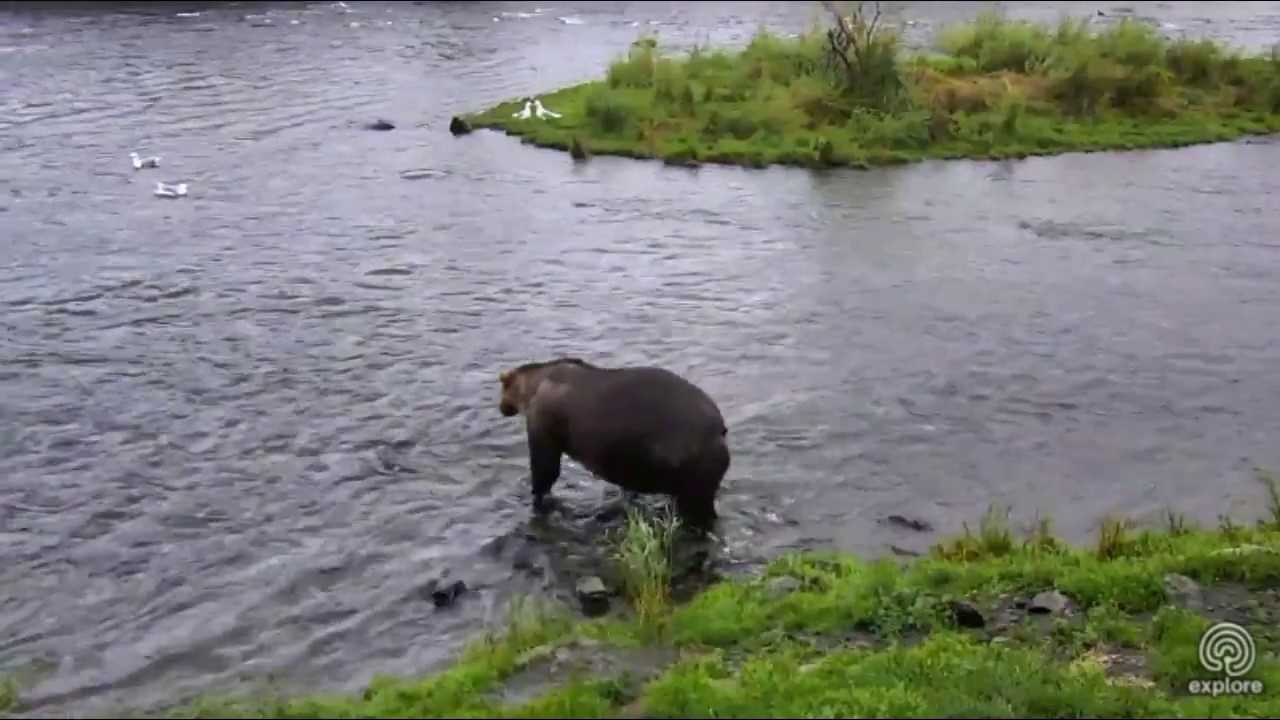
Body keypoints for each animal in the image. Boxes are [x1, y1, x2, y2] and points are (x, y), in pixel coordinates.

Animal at [497, 357, 730, 533]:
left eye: (502, 390)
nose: (502, 407)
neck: (533, 386)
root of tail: (719, 427)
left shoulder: (545, 425)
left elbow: (545, 469)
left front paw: (535, 498)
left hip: (691, 466)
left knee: (697, 507)